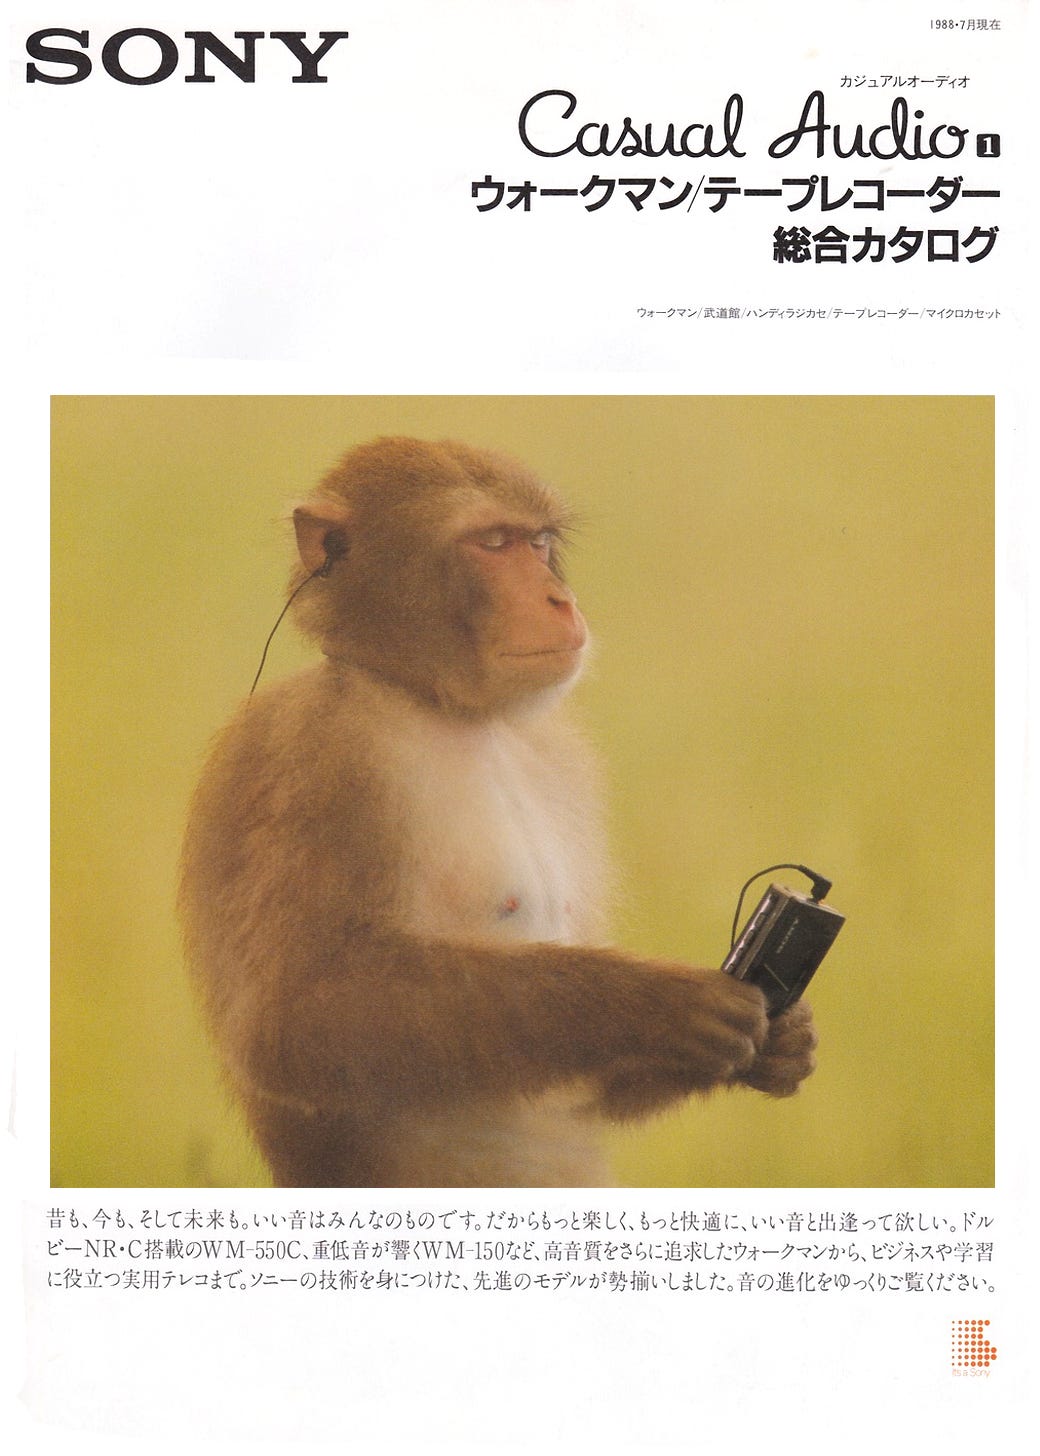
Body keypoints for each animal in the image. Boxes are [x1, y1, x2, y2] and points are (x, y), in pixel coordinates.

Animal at [178, 437, 817, 1187]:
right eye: (491, 543)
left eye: (538, 543)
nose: (559, 599)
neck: (436, 705)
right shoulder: (313, 755)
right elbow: (295, 1017)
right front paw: (649, 1006)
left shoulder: (558, 755)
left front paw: (785, 1037)